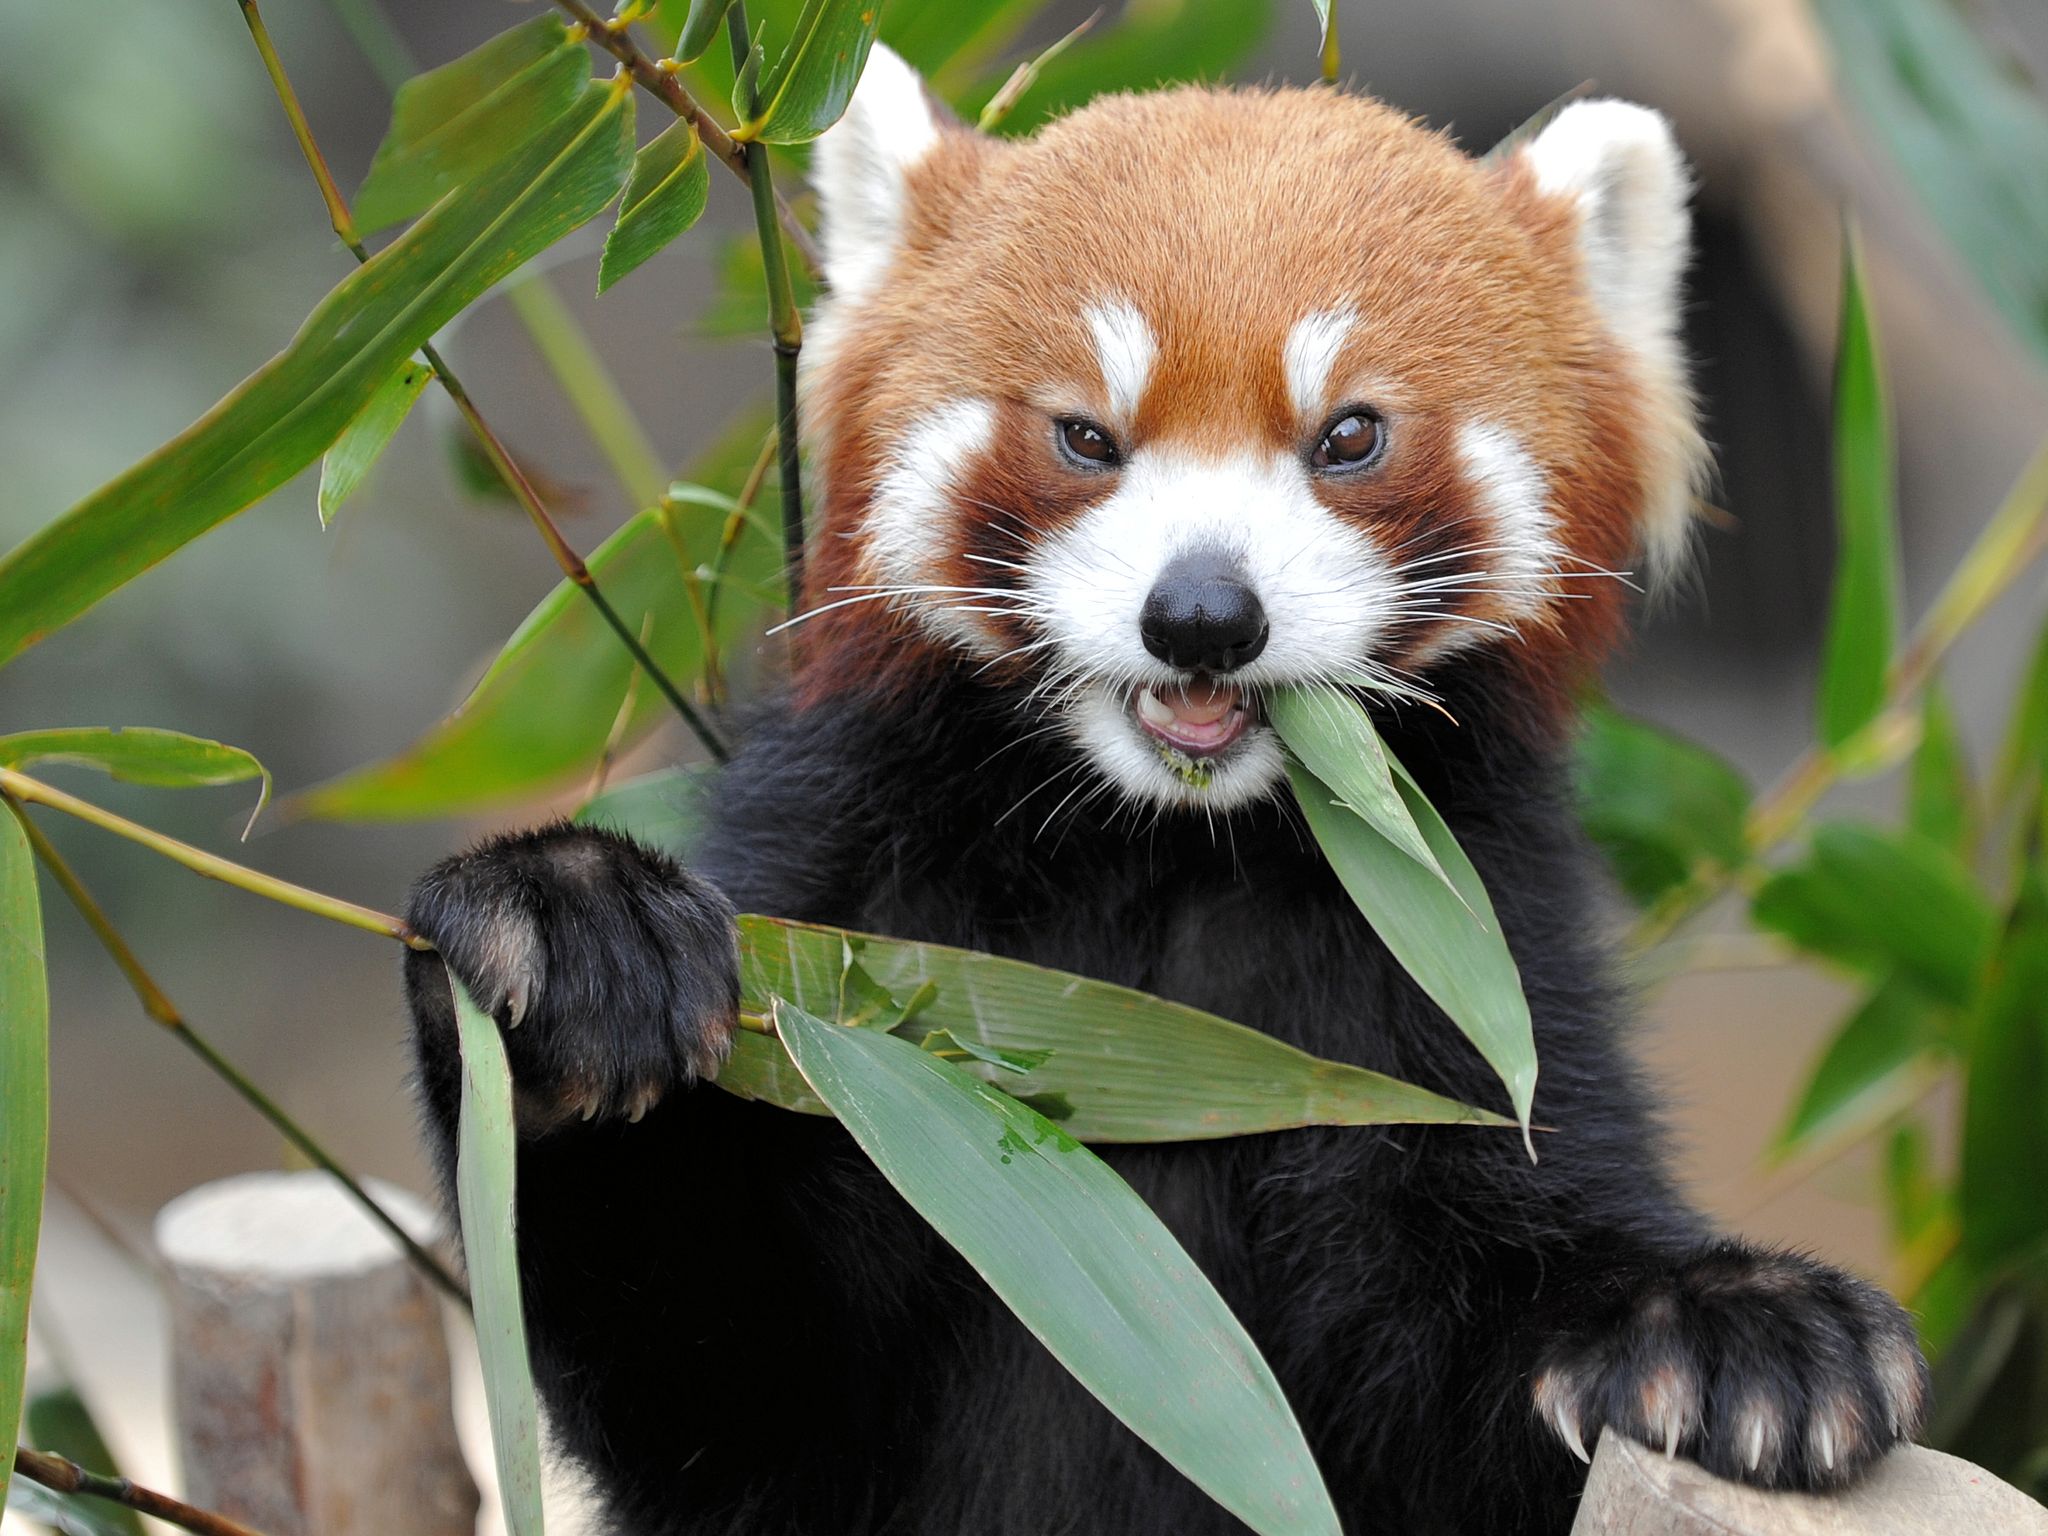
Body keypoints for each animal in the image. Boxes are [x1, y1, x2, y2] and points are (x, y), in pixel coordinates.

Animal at [402, 46, 1928, 1535]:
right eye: (1085, 435)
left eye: (1349, 435)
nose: (1201, 615)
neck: (1164, 859)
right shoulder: (853, 939)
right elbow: (719, 1360)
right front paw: (569, 942)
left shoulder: (1455, 967)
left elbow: (1476, 1323)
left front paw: (1726, 1325)